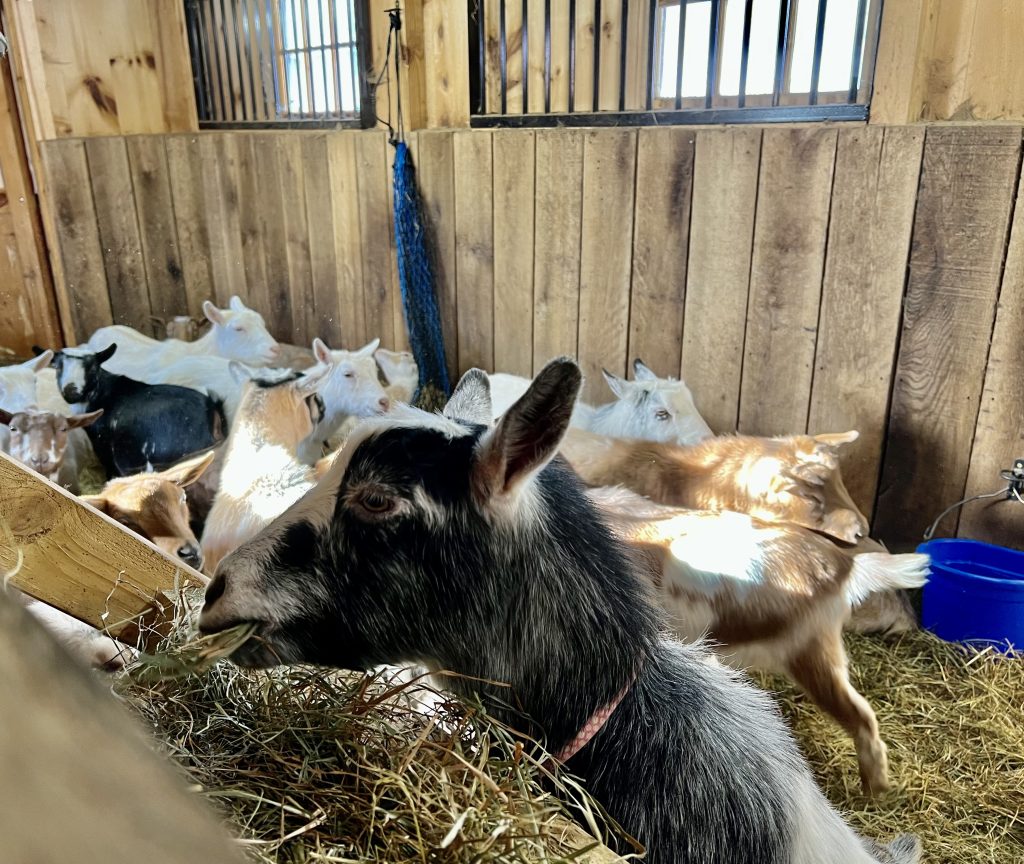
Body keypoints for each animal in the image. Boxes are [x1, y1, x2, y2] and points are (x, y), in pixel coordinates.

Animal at [52, 345, 227, 478]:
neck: (102, 395)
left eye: (93, 368)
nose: (71, 391)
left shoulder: (103, 447)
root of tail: (211, 411)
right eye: (58, 367)